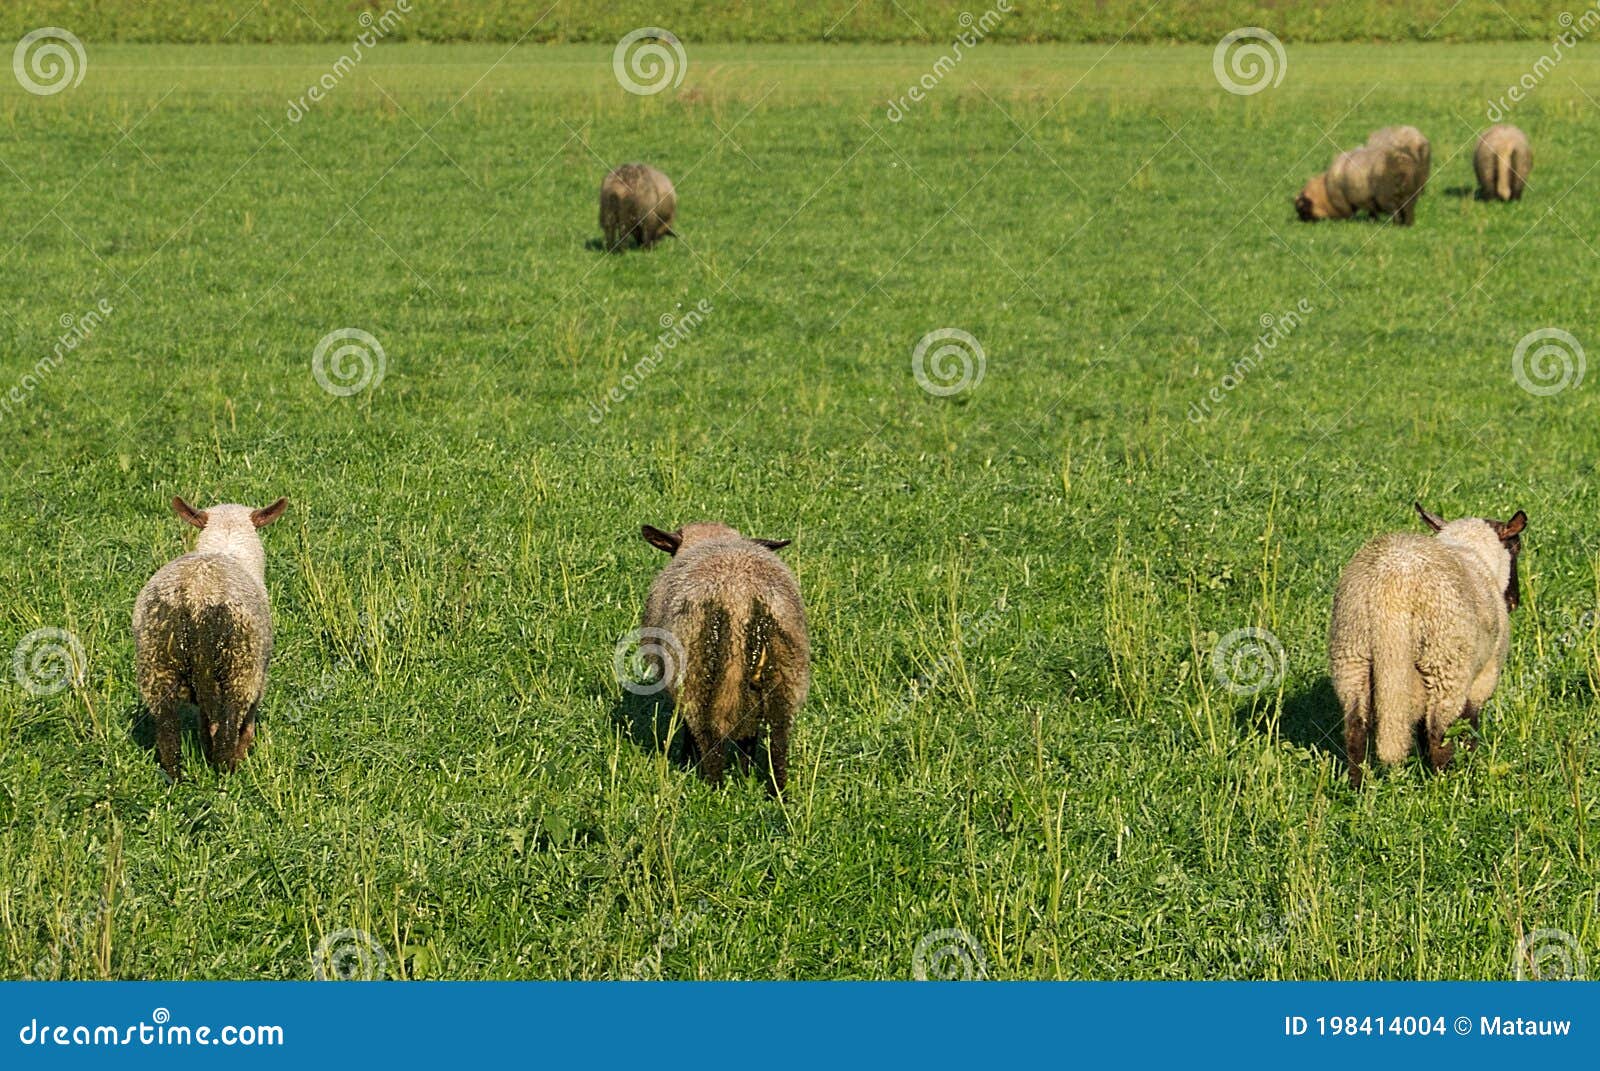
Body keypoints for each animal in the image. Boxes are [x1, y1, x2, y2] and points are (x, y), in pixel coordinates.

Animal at [133, 496, 288, 780]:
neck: (227, 547)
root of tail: (195, 598)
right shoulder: (259, 676)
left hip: (156, 661)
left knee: (168, 731)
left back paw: (175, 778)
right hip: (241, 665)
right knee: (228, 726)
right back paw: (226, 773)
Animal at [638, 521, 809, 795]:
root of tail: (742, 597)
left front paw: (686, 761)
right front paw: (745, 773)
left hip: (698, 673)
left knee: (710, 740)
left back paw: (712, 789)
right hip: (786, 674)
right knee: (777, 742)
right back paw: (776, 792)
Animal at [1329, 502, 1526, 788]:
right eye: (1516, 547)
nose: (1514, 601)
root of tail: (1391, 584)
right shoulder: (1485, 675)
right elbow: (1469, 723)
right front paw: (1469, 762)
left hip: (1351, 654)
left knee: (1356, 727)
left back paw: (1359, 786)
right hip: (1446, 661)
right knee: (1438, 732)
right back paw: (1444, 784)